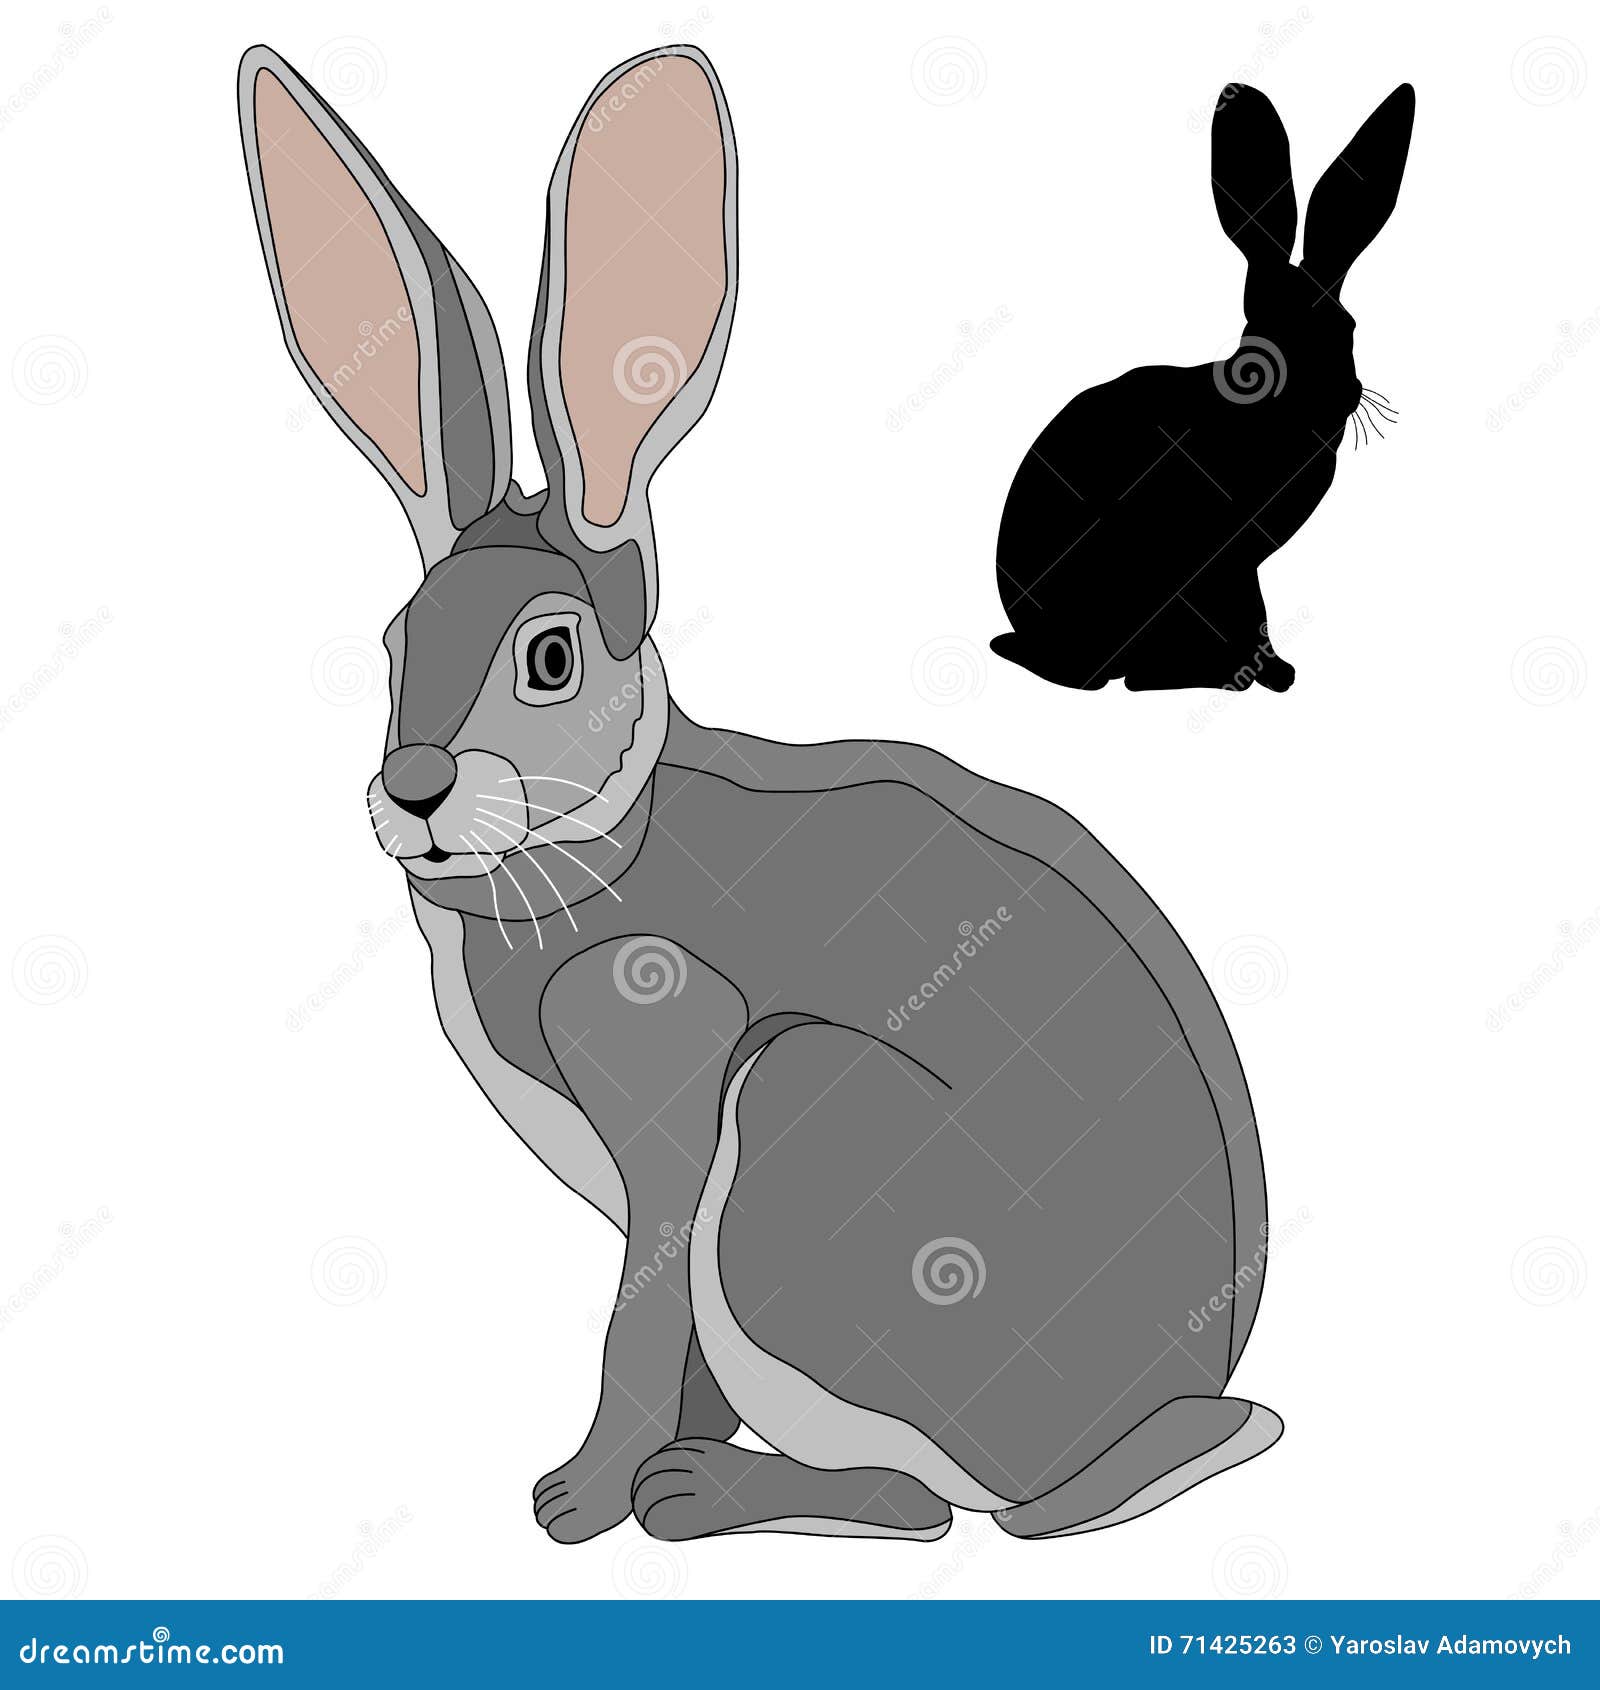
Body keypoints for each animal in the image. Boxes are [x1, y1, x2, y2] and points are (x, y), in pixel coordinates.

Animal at [240, 42, 1279, 1544]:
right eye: (392, 648)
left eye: (549, 657)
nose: (415, 790)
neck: (604, 844)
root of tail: (1116, 1453)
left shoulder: (669, 1080)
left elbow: (640, 1307)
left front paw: (580, 1499)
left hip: (799, 1145)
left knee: (926, 1508)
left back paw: (696, 1493)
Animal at [992, 82, 1414, 692]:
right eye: (1257, 328)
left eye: (1348, 329)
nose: (1331, 393)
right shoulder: (1224, 563)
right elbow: (1246, 609)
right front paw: (1262, 672)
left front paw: (1273, 671)